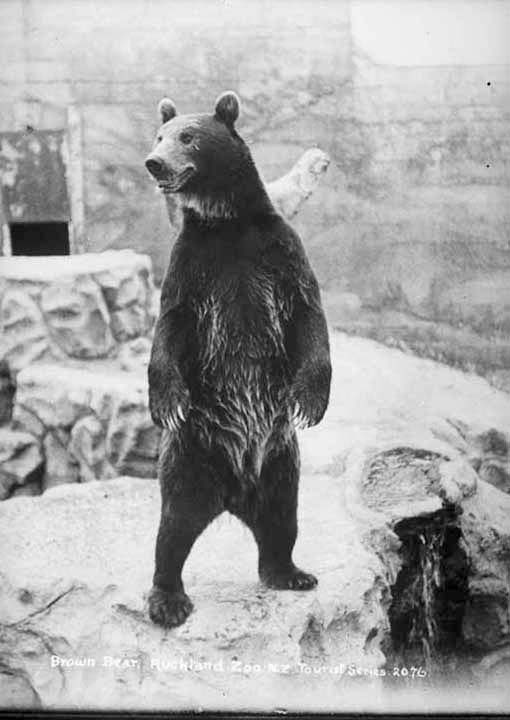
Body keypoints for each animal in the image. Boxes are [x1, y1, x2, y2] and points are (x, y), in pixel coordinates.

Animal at [144, 91, 332, 628]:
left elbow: (309, 314)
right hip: (191, 456)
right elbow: (170, 325)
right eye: (160, 135)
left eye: (188, 136)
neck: (224, 221)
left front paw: (309, 403)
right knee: (172, 530)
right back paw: (168, 600)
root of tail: (232, 496)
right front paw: (166, 401)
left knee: (283, 520)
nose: (154, 162)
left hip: (280, 462)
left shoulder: (278, 254)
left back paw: (291, 572)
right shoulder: (192, 268)